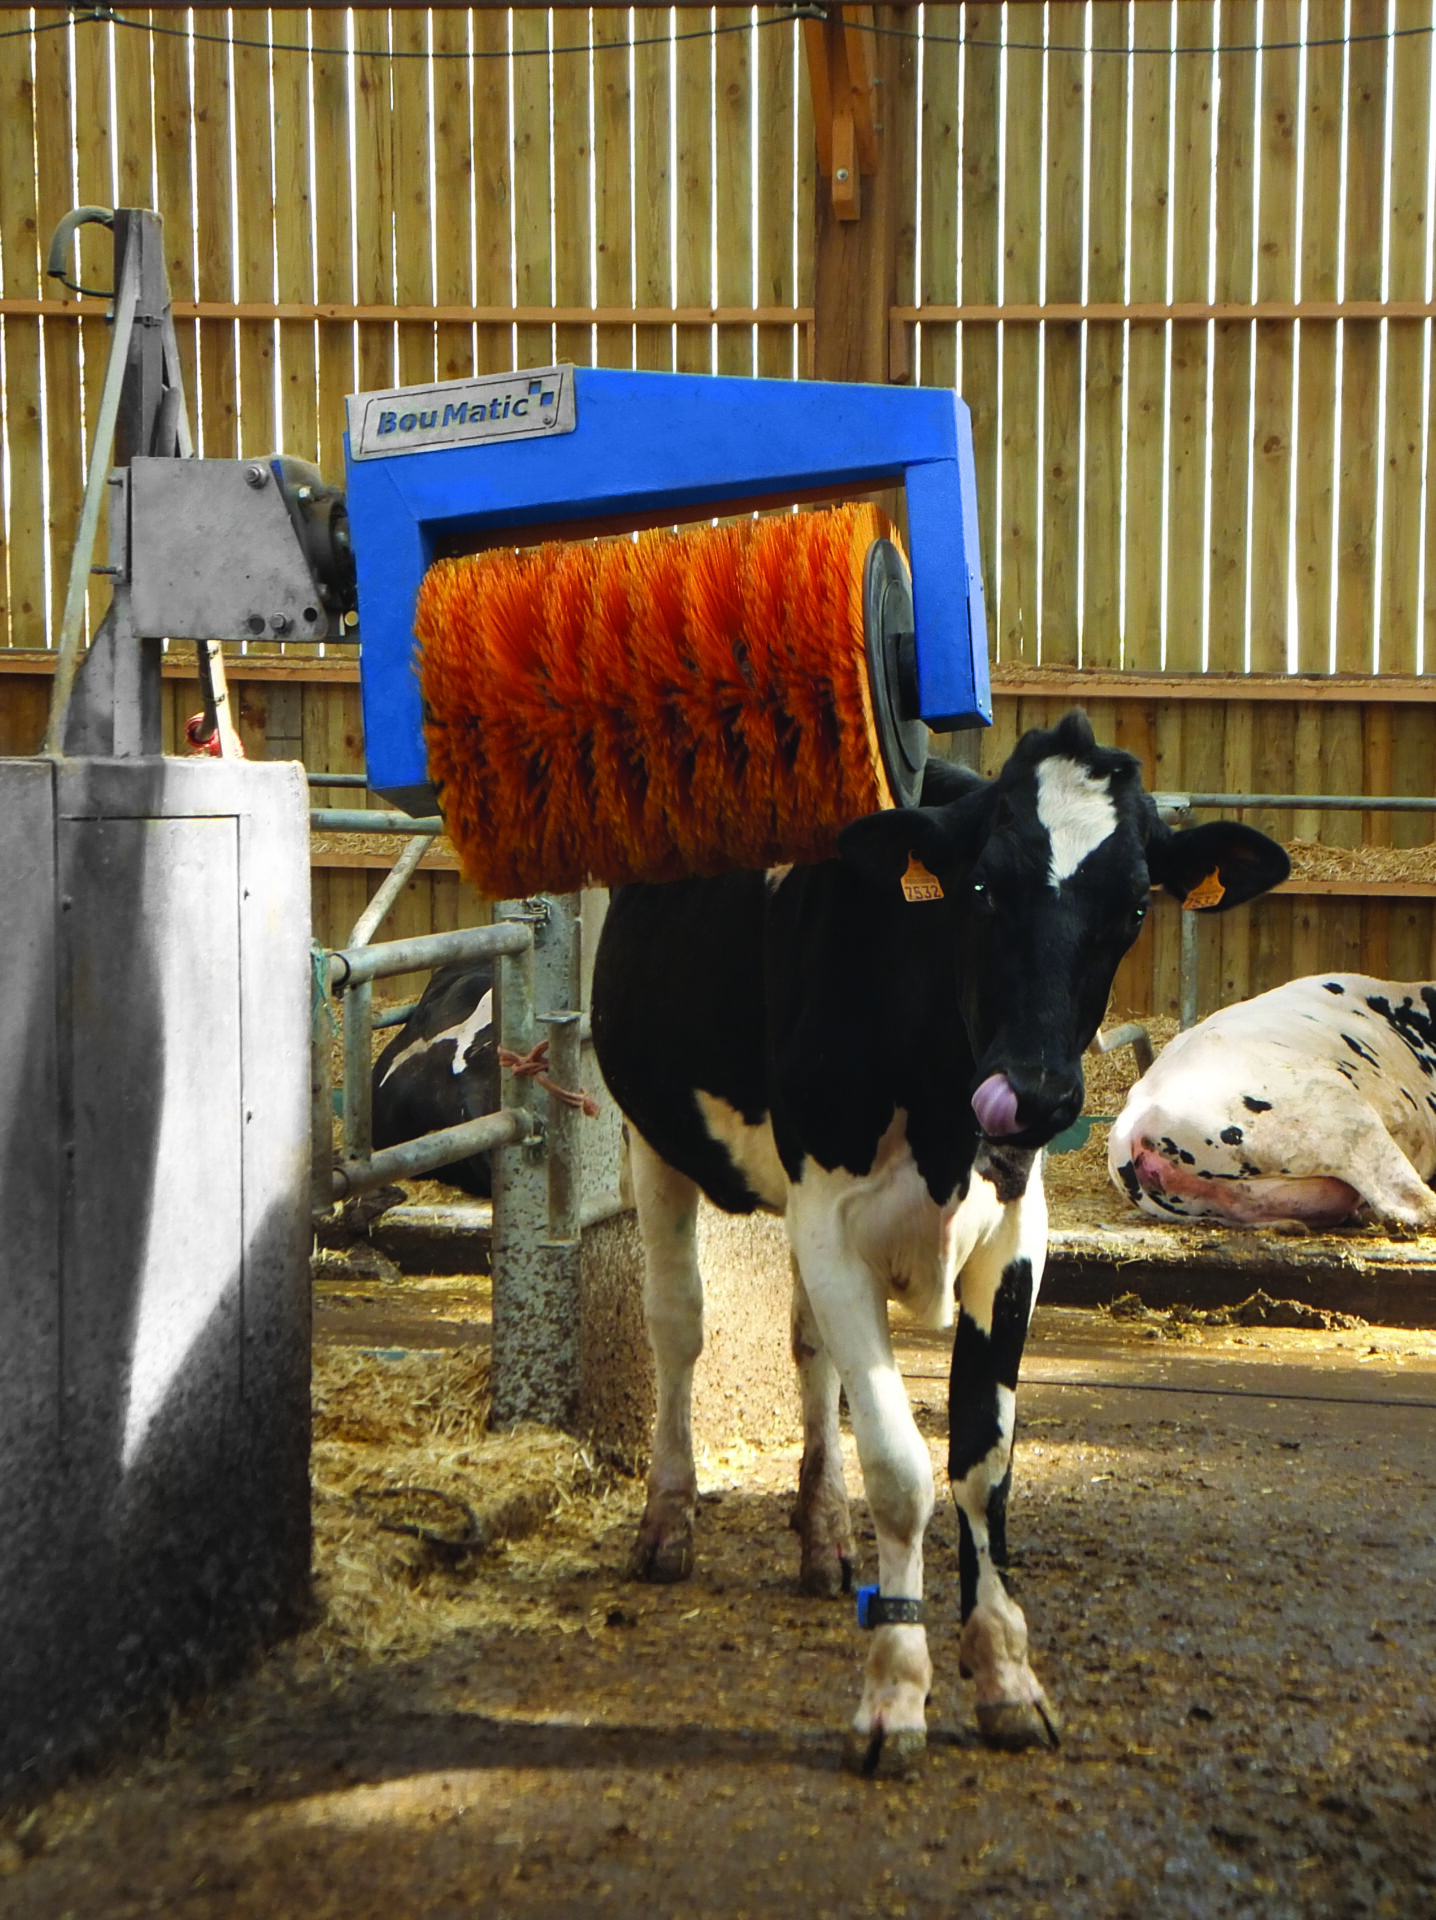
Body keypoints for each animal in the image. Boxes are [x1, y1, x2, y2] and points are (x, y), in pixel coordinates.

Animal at [589, 711, 1289, 1773]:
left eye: (1133, 906)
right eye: (983, 887)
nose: (1037, 1090)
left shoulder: (1014, 1236)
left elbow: (981, 1465)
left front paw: (1005, 1674)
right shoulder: (830, 1216)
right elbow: (900, 1468)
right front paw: (894, 1692)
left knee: (807, 1345)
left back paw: (822, 1538)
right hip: (654, 1140)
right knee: (679, 1324)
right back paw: (668, 1522)